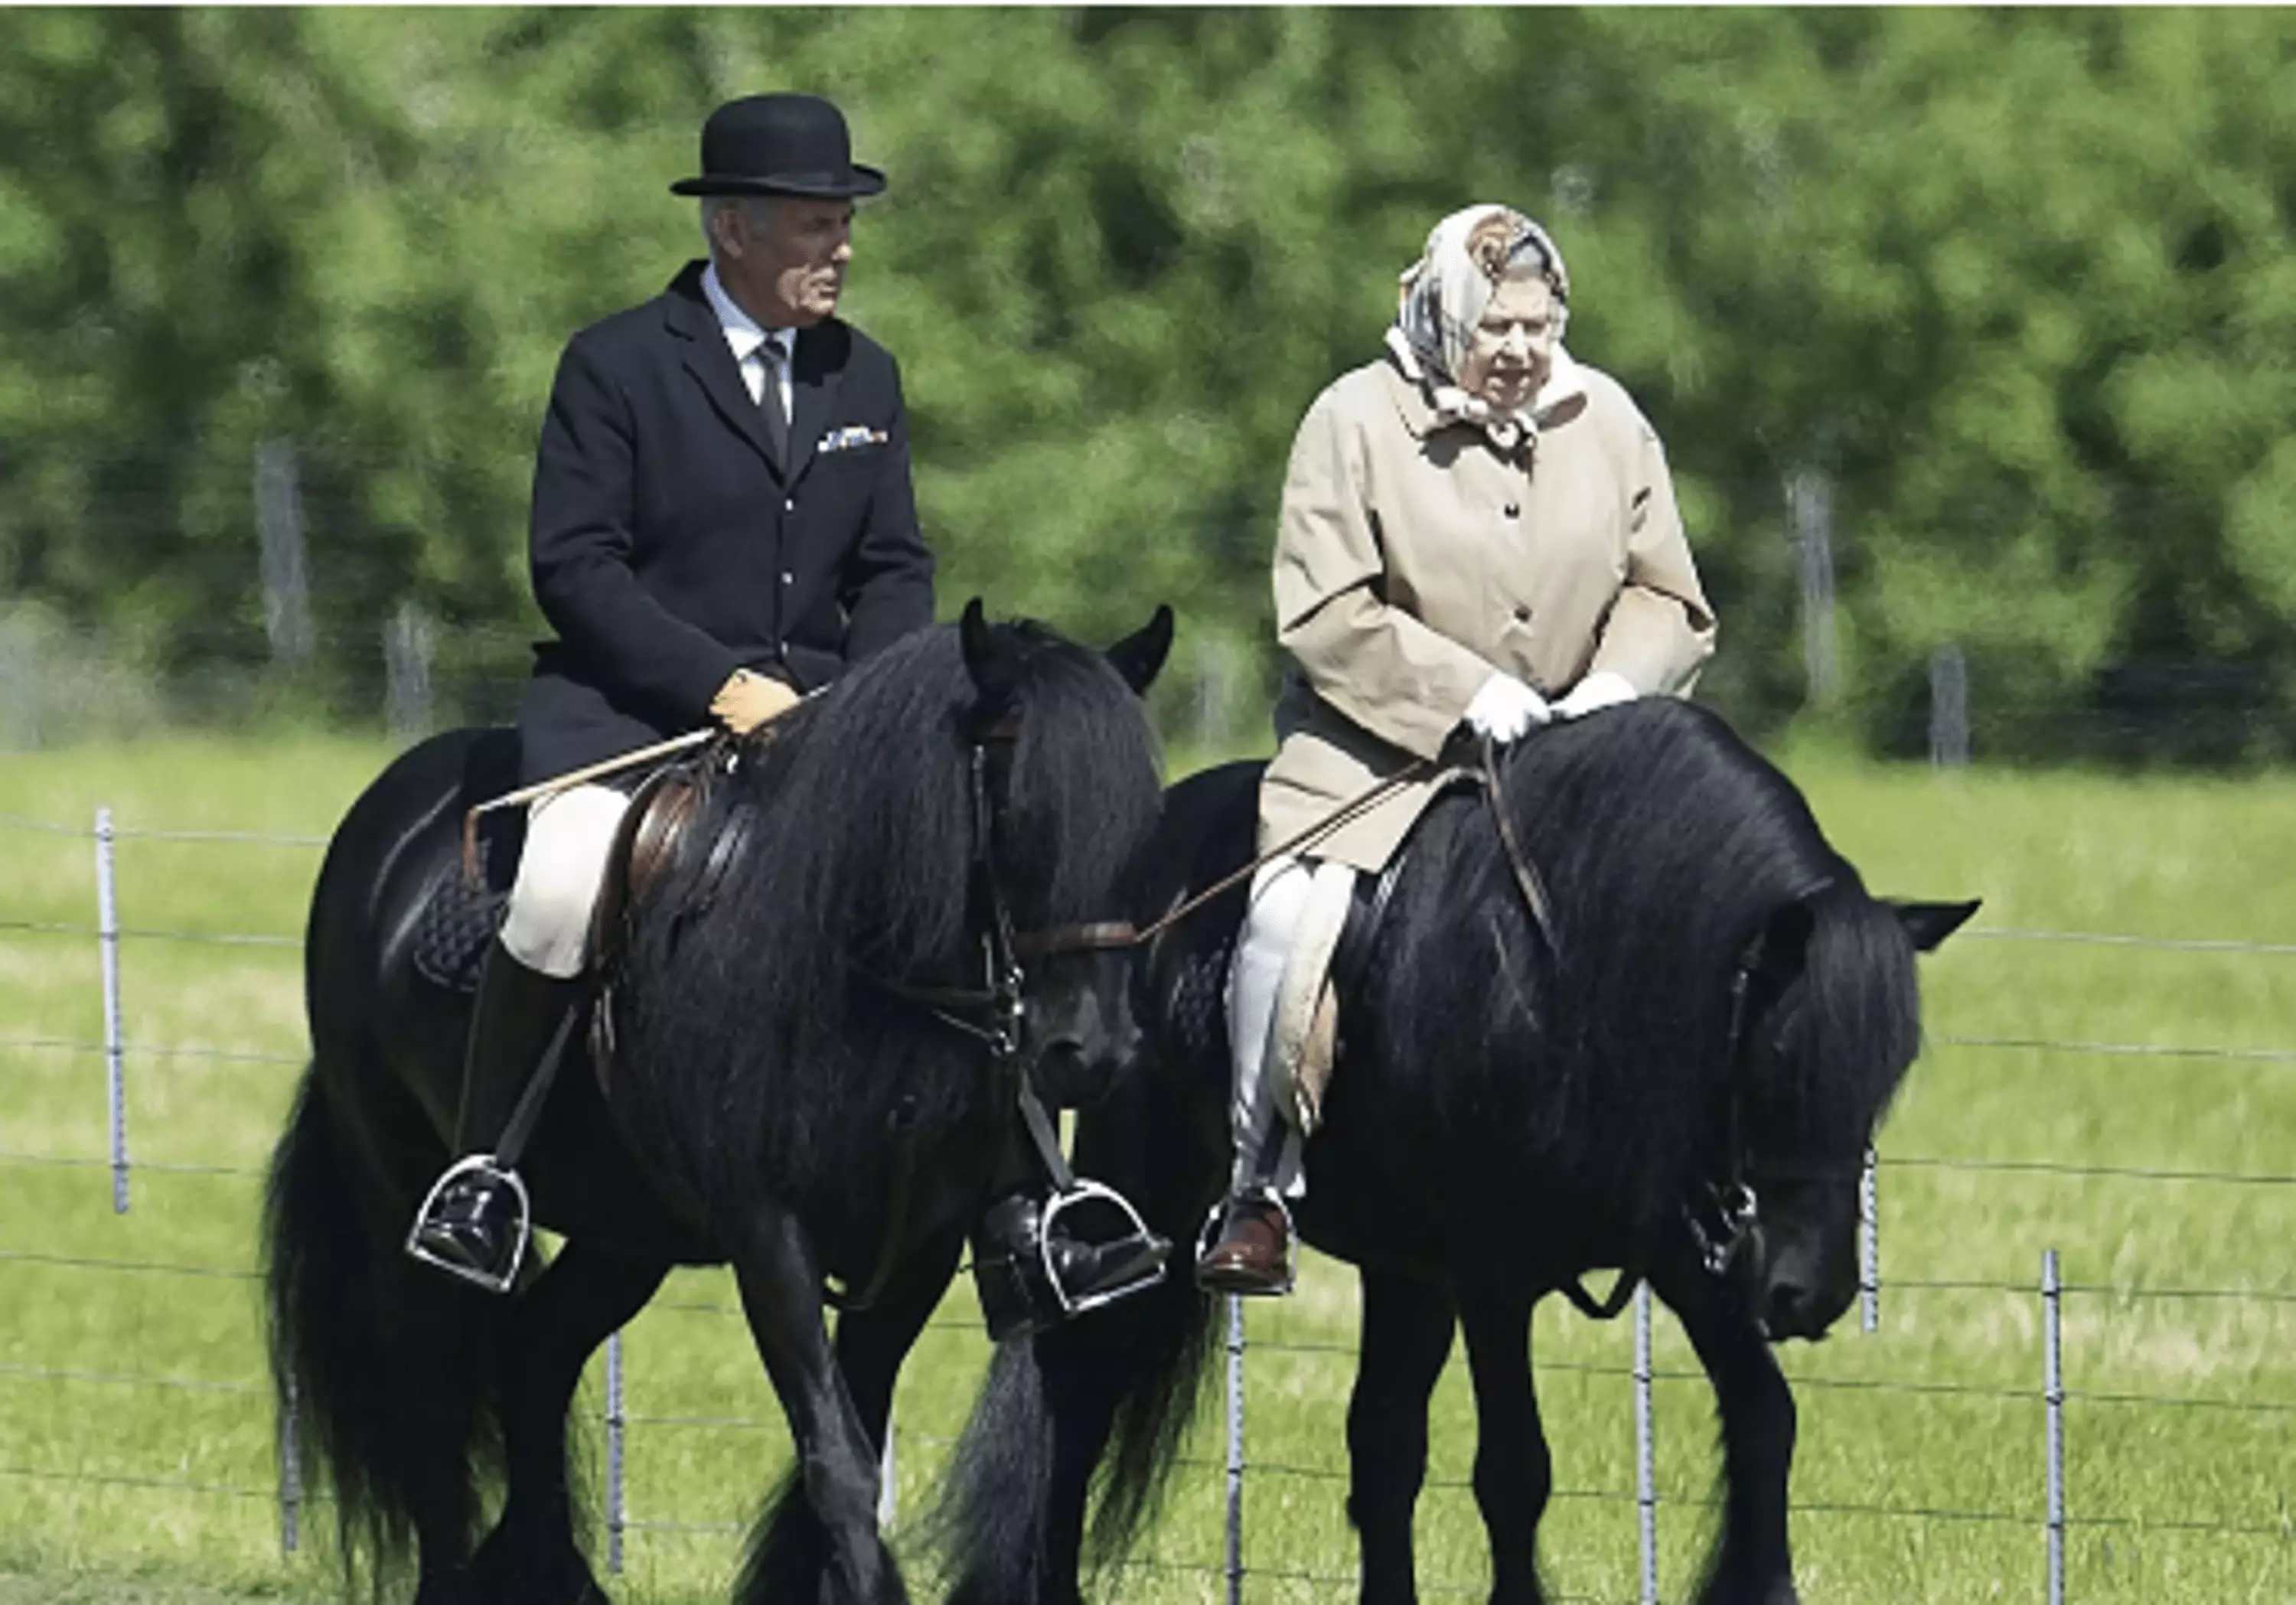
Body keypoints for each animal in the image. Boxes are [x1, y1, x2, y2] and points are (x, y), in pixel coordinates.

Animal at [263, 606, 1176, 1605]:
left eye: (1142, 822)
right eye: (1016, 809)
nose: (1088, 1051)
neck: (854, 966)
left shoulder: (918, 1247)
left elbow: (854, 1435)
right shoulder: (767, 1233)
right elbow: (839, 1460)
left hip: (628, 1232)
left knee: (535, 1354)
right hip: (397, 1183)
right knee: (430, 1395)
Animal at [941, 703, 1984, 1605]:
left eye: (1885, 1075)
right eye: (1777, 1062)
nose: (1811, 1294)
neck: (1574, 968)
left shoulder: (1692, 1255)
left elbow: (1768, 1421)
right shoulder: (1496, 1273)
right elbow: (1515, 1472)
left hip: (1405, 1270)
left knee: (1382, 1444)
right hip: (1150, 1199)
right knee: (1079, 1394)